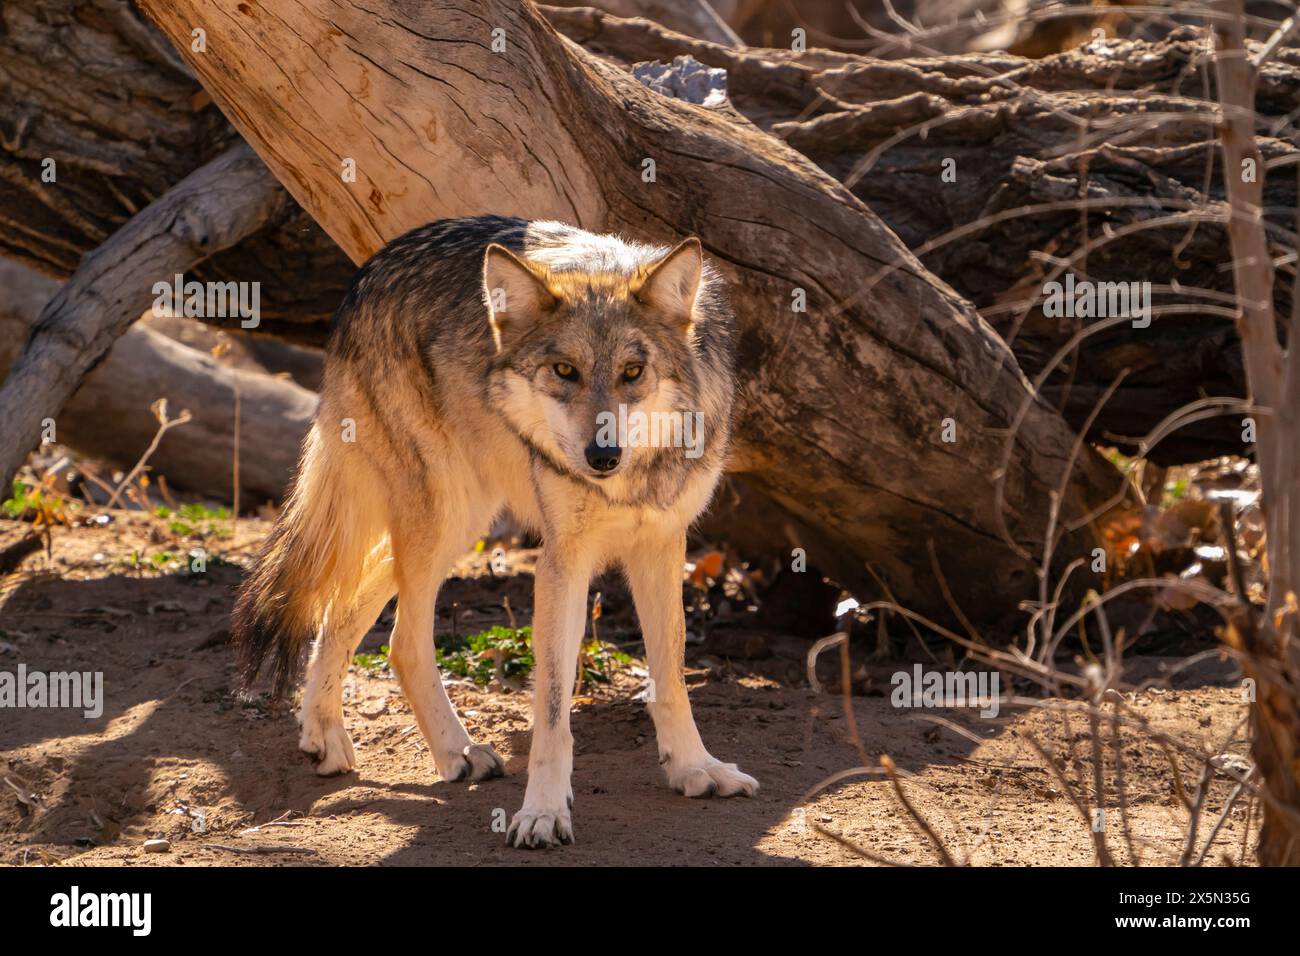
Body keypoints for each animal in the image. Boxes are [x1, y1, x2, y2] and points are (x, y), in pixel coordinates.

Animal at [231, 215, 757, 848]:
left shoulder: (662, 546)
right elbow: (552, 709)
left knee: (344, 608)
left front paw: (695, 769)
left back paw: (325, 735)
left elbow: (672, 675)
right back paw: (455, 754)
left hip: (460, 521)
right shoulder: (563, 560)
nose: (603, 455)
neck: (631, 481)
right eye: (565, 372)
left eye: (633, 373)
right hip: (442, 519)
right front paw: (543, 812)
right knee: (401, 640)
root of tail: (368, 273)